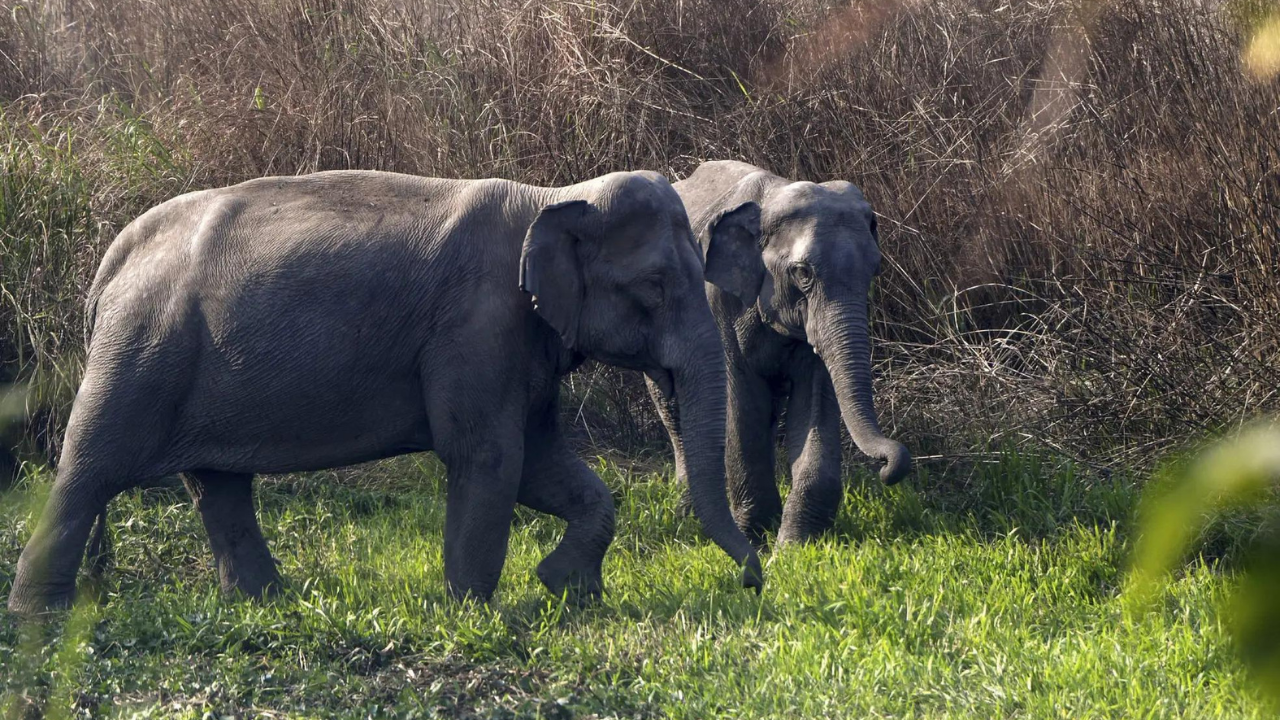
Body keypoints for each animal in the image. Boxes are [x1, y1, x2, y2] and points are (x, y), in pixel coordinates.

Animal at [7, 169, 764, 615]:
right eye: (655, 288)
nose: (755, 582)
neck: (552, 198)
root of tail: (112, 260)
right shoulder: (478, 326)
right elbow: (489, 458)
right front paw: (476, 615)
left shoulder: (521, 343)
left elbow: (546, 465)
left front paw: (568, 594)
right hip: (143, 350)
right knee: (89, 469)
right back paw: (38, 617)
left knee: (216, 483)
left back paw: (265, 604)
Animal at [648, 160, 911, 547]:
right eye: (802, 273)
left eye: (874, 269)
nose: (888, 472)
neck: (772, 199)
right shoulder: (717, 300)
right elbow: (741, 401)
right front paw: (754, 536)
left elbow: (815, 401)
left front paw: (795, 545)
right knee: (672, 406)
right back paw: (686, 509)